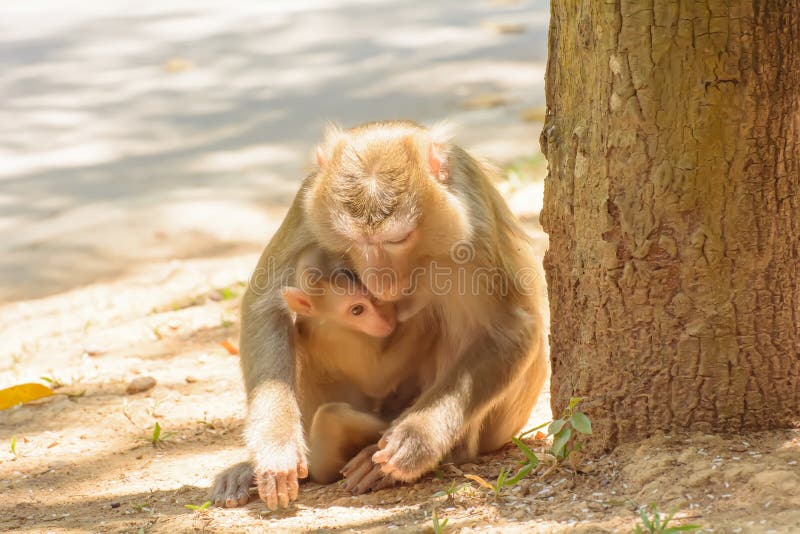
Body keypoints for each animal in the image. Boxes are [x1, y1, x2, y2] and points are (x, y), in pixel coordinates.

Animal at [211, 120, 547, 510]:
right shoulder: (306, 203)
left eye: (397, 239)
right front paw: (276, 450)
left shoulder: (473, 223)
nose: (380, 280)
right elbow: (264, 305)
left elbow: (509, 327)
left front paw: (417, 440)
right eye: (355, 241)